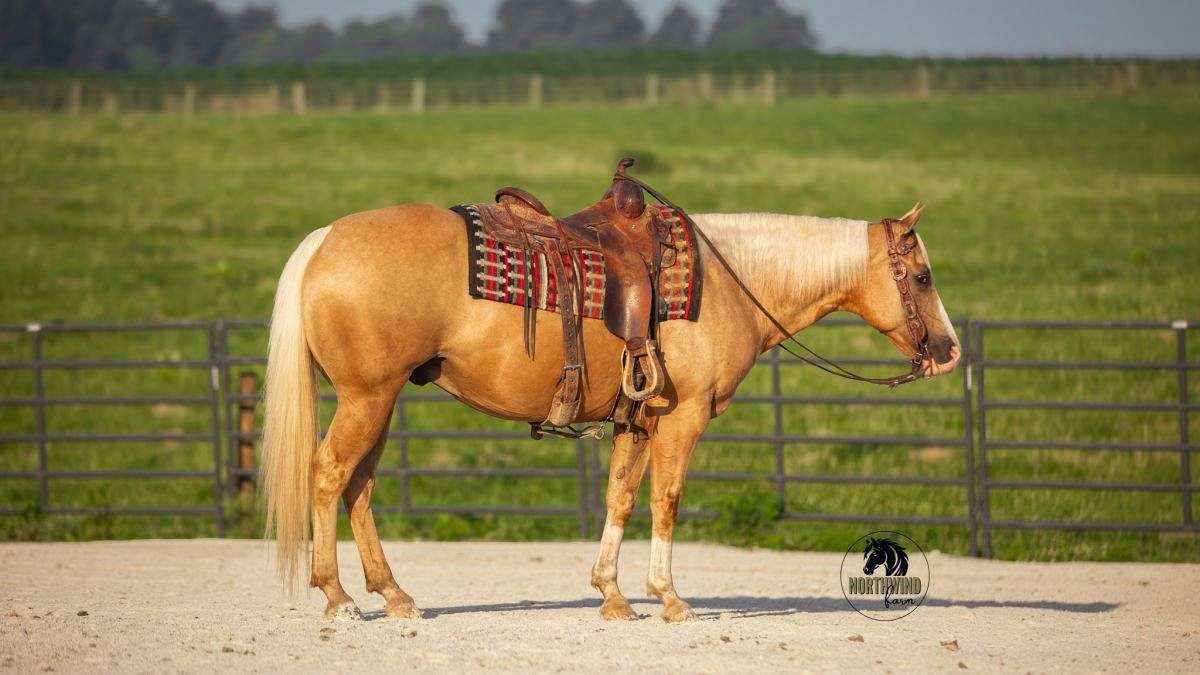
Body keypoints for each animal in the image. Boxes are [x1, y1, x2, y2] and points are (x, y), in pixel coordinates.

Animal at [260, 200, 961, 623]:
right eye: (924, 276)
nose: (949, 351)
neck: (726, 282)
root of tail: (325, 241)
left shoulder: (637, 421)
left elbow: (620, 497)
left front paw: (613, 595)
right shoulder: (683, 420)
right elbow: (666, 501)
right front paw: (670, 598)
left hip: (380, 401)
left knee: (359, 486)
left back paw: (395, 595)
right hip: (367, 398)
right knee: (329, 475)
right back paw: (339, 597)